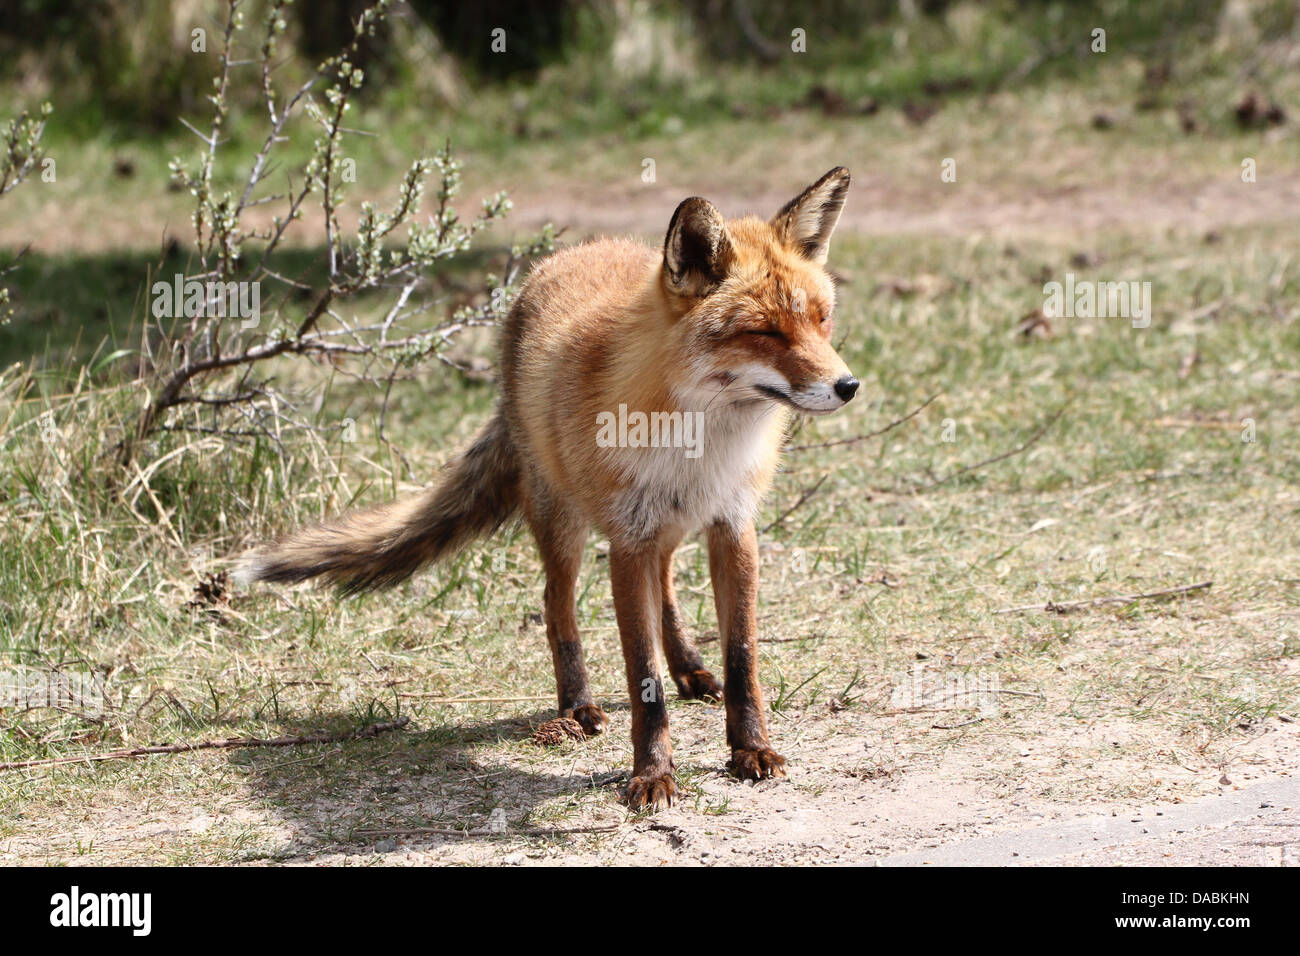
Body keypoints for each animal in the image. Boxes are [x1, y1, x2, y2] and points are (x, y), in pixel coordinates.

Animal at [238, 167, 859, 810]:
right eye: (764, 331)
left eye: (821, 319)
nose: (848, 385)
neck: (699, 445)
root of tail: (570, 253)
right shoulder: (627, 543)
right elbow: (643, 680)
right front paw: (652, 775)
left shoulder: (732, 525)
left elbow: (742, 660)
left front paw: (750, 749)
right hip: (563, 523)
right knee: (555, 606)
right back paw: (576, 707)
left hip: (653, 527)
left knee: (664, 585)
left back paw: (689, 668)